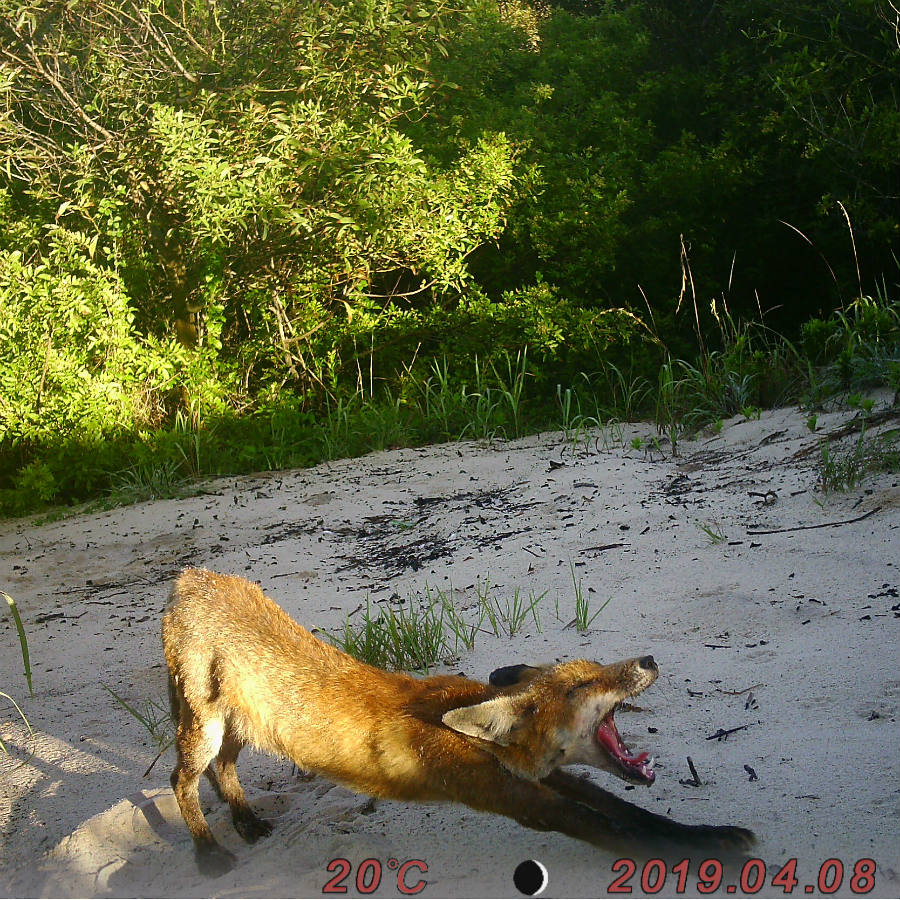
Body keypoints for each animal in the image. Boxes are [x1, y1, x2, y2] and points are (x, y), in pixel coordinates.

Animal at [162, 567, 754, 876]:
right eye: (580, 688)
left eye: (597, 669)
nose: (648, 660)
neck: (484, 746)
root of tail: (192, 577)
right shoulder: (519, 799)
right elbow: (621, 831)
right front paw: (720, 860)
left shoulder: (543, 777)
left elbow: (632, 812)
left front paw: (715, 835)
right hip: (205, 729)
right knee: (181, 779)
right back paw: (209, 851)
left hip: (237, 729)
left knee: (223, 772)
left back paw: (245, 822)